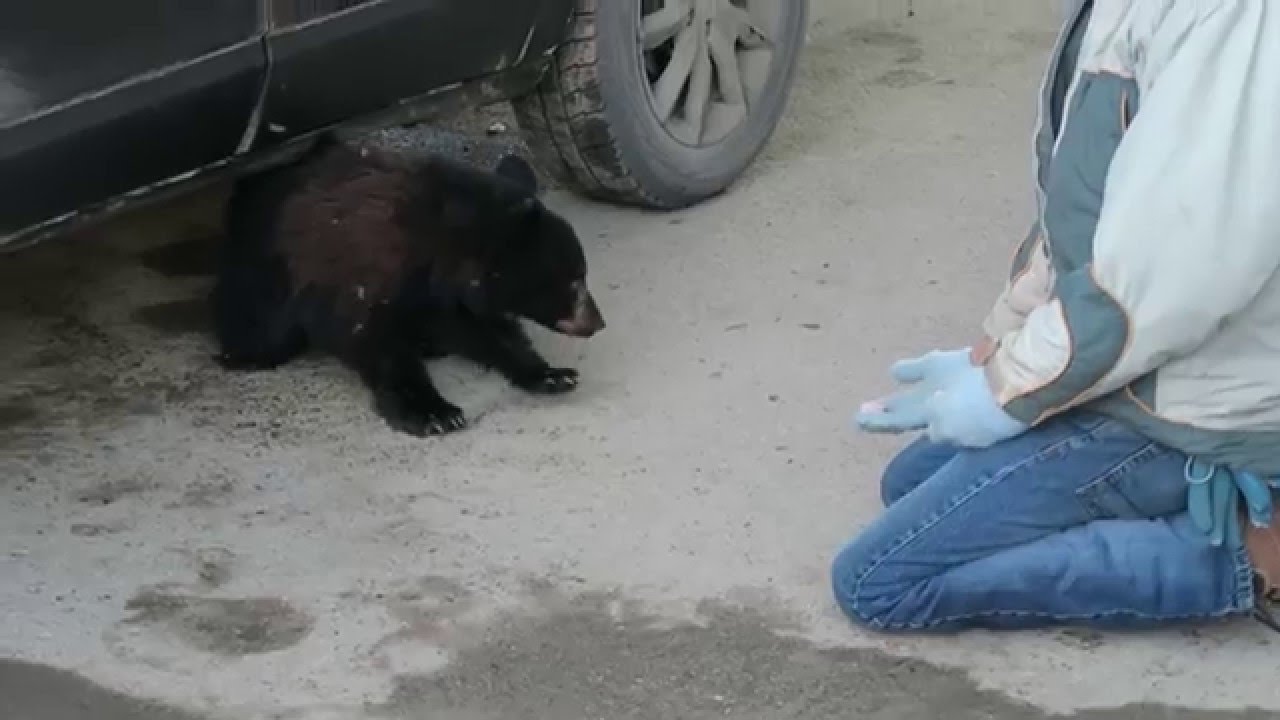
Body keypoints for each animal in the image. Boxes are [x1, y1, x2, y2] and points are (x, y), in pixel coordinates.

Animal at [211, 136, 605, 436]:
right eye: (575, 277)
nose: (597, 322)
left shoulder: (441, 295)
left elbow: (485, 330)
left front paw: (552, 374)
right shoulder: (359, 276)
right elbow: (376, 344)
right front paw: (435, 413)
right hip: (263, 266)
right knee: (257, 325)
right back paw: (243, 354)